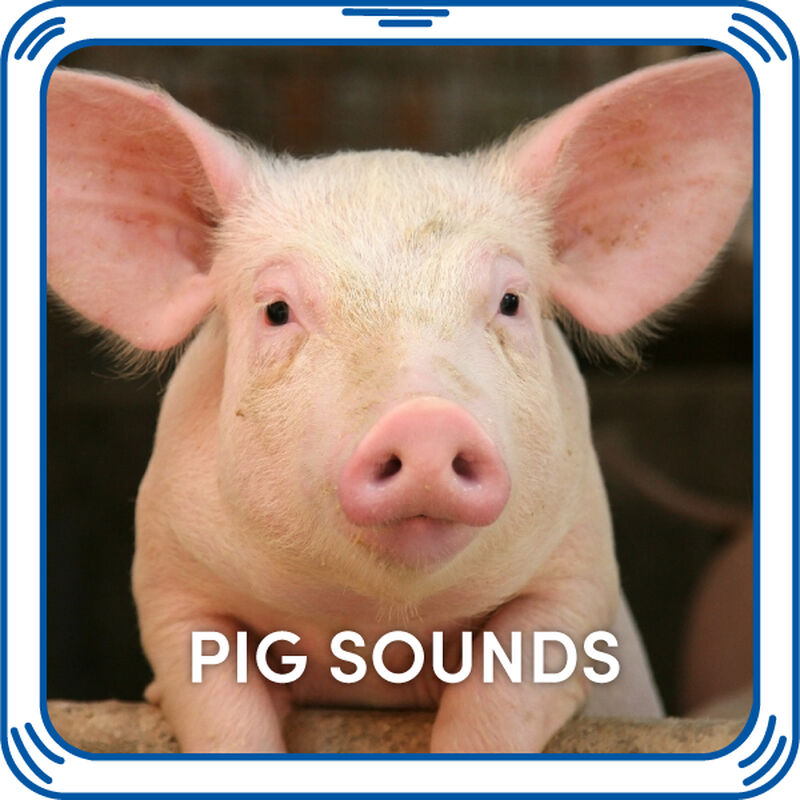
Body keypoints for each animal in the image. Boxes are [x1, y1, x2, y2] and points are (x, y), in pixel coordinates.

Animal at [46, 52, 752, 753]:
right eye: (276, 310)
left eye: (510, 302)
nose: (425, 422)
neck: (383, 625)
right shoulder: (170, 581)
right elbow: (220, 710)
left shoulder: (578, 576)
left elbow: (501, 698)